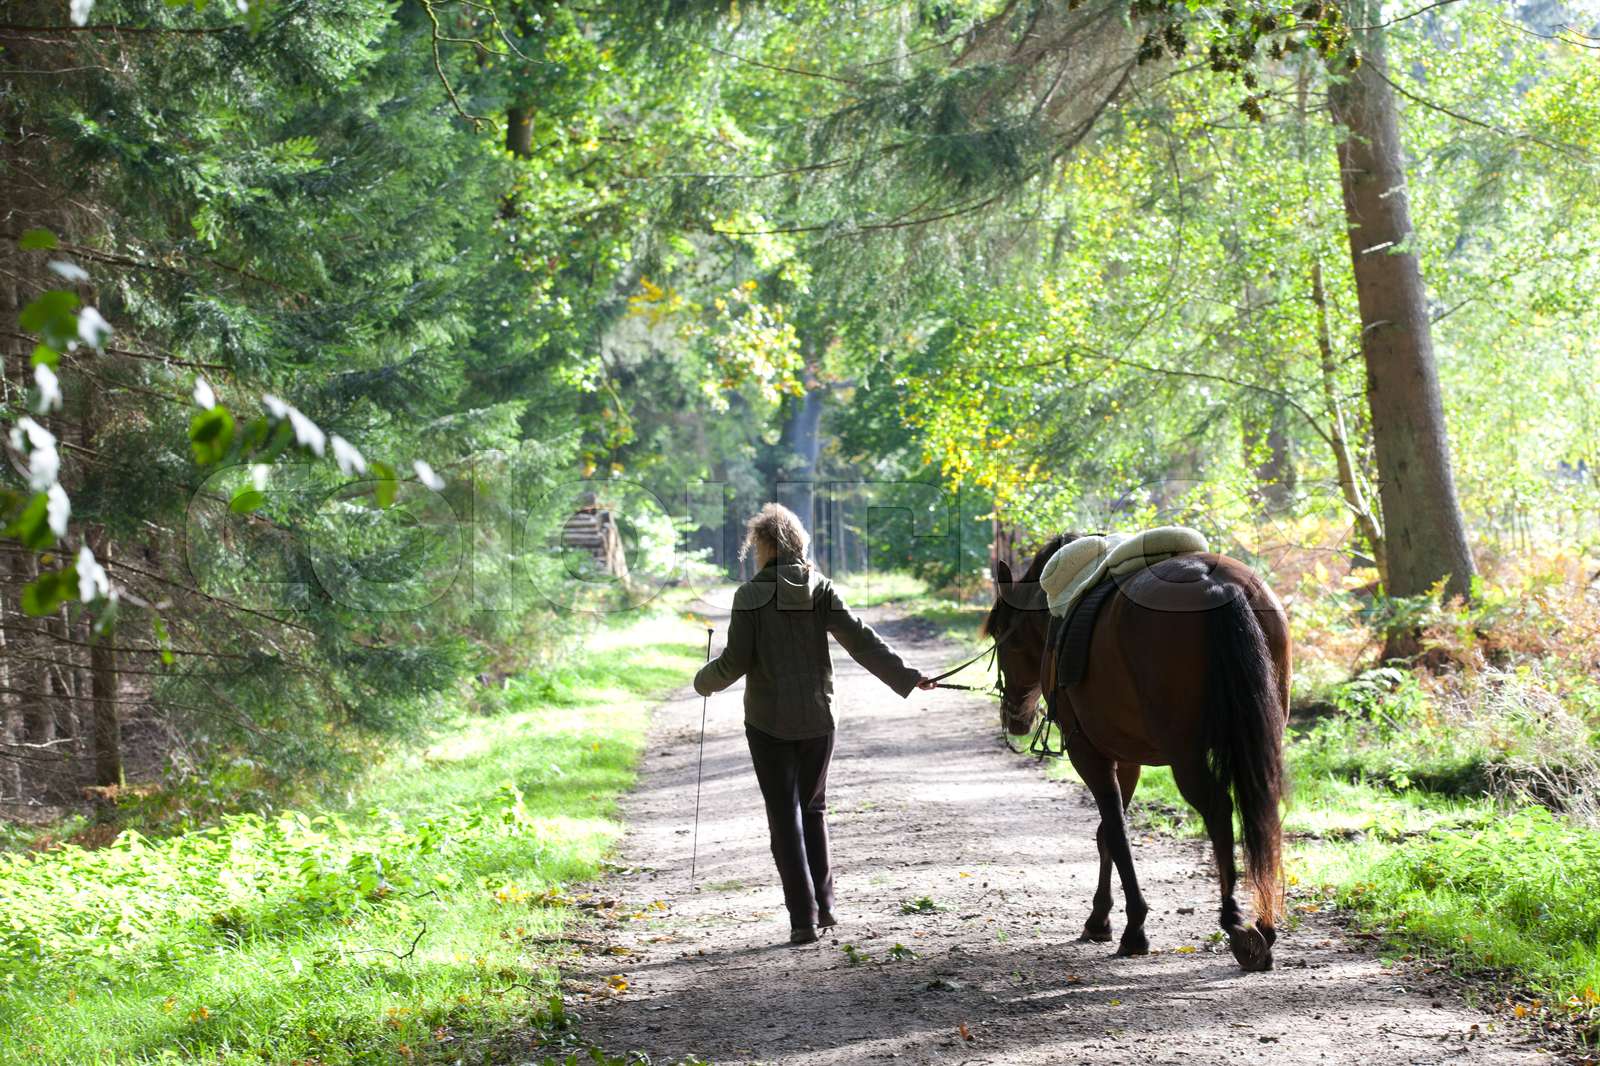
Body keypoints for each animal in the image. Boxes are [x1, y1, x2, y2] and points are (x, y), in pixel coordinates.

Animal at [984, 534, 1291, 971]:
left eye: (1000, 636)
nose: (1014, 718)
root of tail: (1215, 585)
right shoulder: (1126, 760)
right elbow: (1105, 835)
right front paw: (1100, 919)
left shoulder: (1089, 754)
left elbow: (1115, 832)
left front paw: (1133, 928)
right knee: (1263, 815)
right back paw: (1264, 924)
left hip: (1185, 756)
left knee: (1218, 811)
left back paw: (1236, 926)